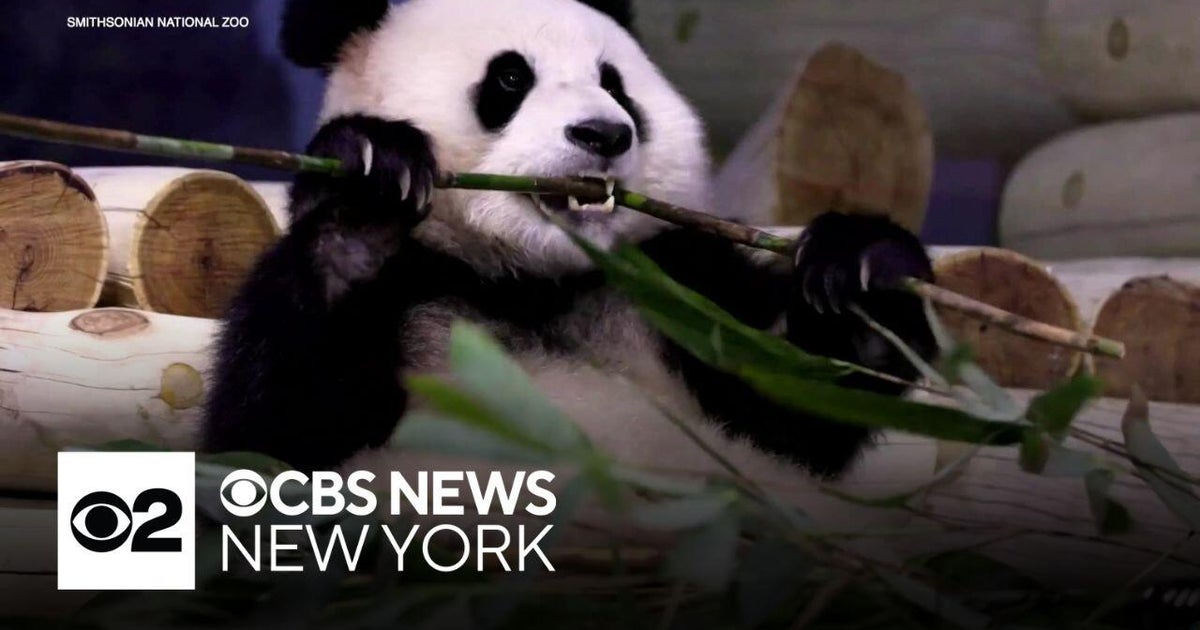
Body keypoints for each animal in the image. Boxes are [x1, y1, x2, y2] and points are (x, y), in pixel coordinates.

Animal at [201, 0, 936, 490]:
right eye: (509, 79)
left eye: (615, 84)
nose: (604, 134)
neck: (530, 276)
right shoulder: (415, 289)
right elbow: (277, 434)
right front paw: (370, 179)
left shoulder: (680, 290)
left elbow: (796, 404)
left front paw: (862, 268)